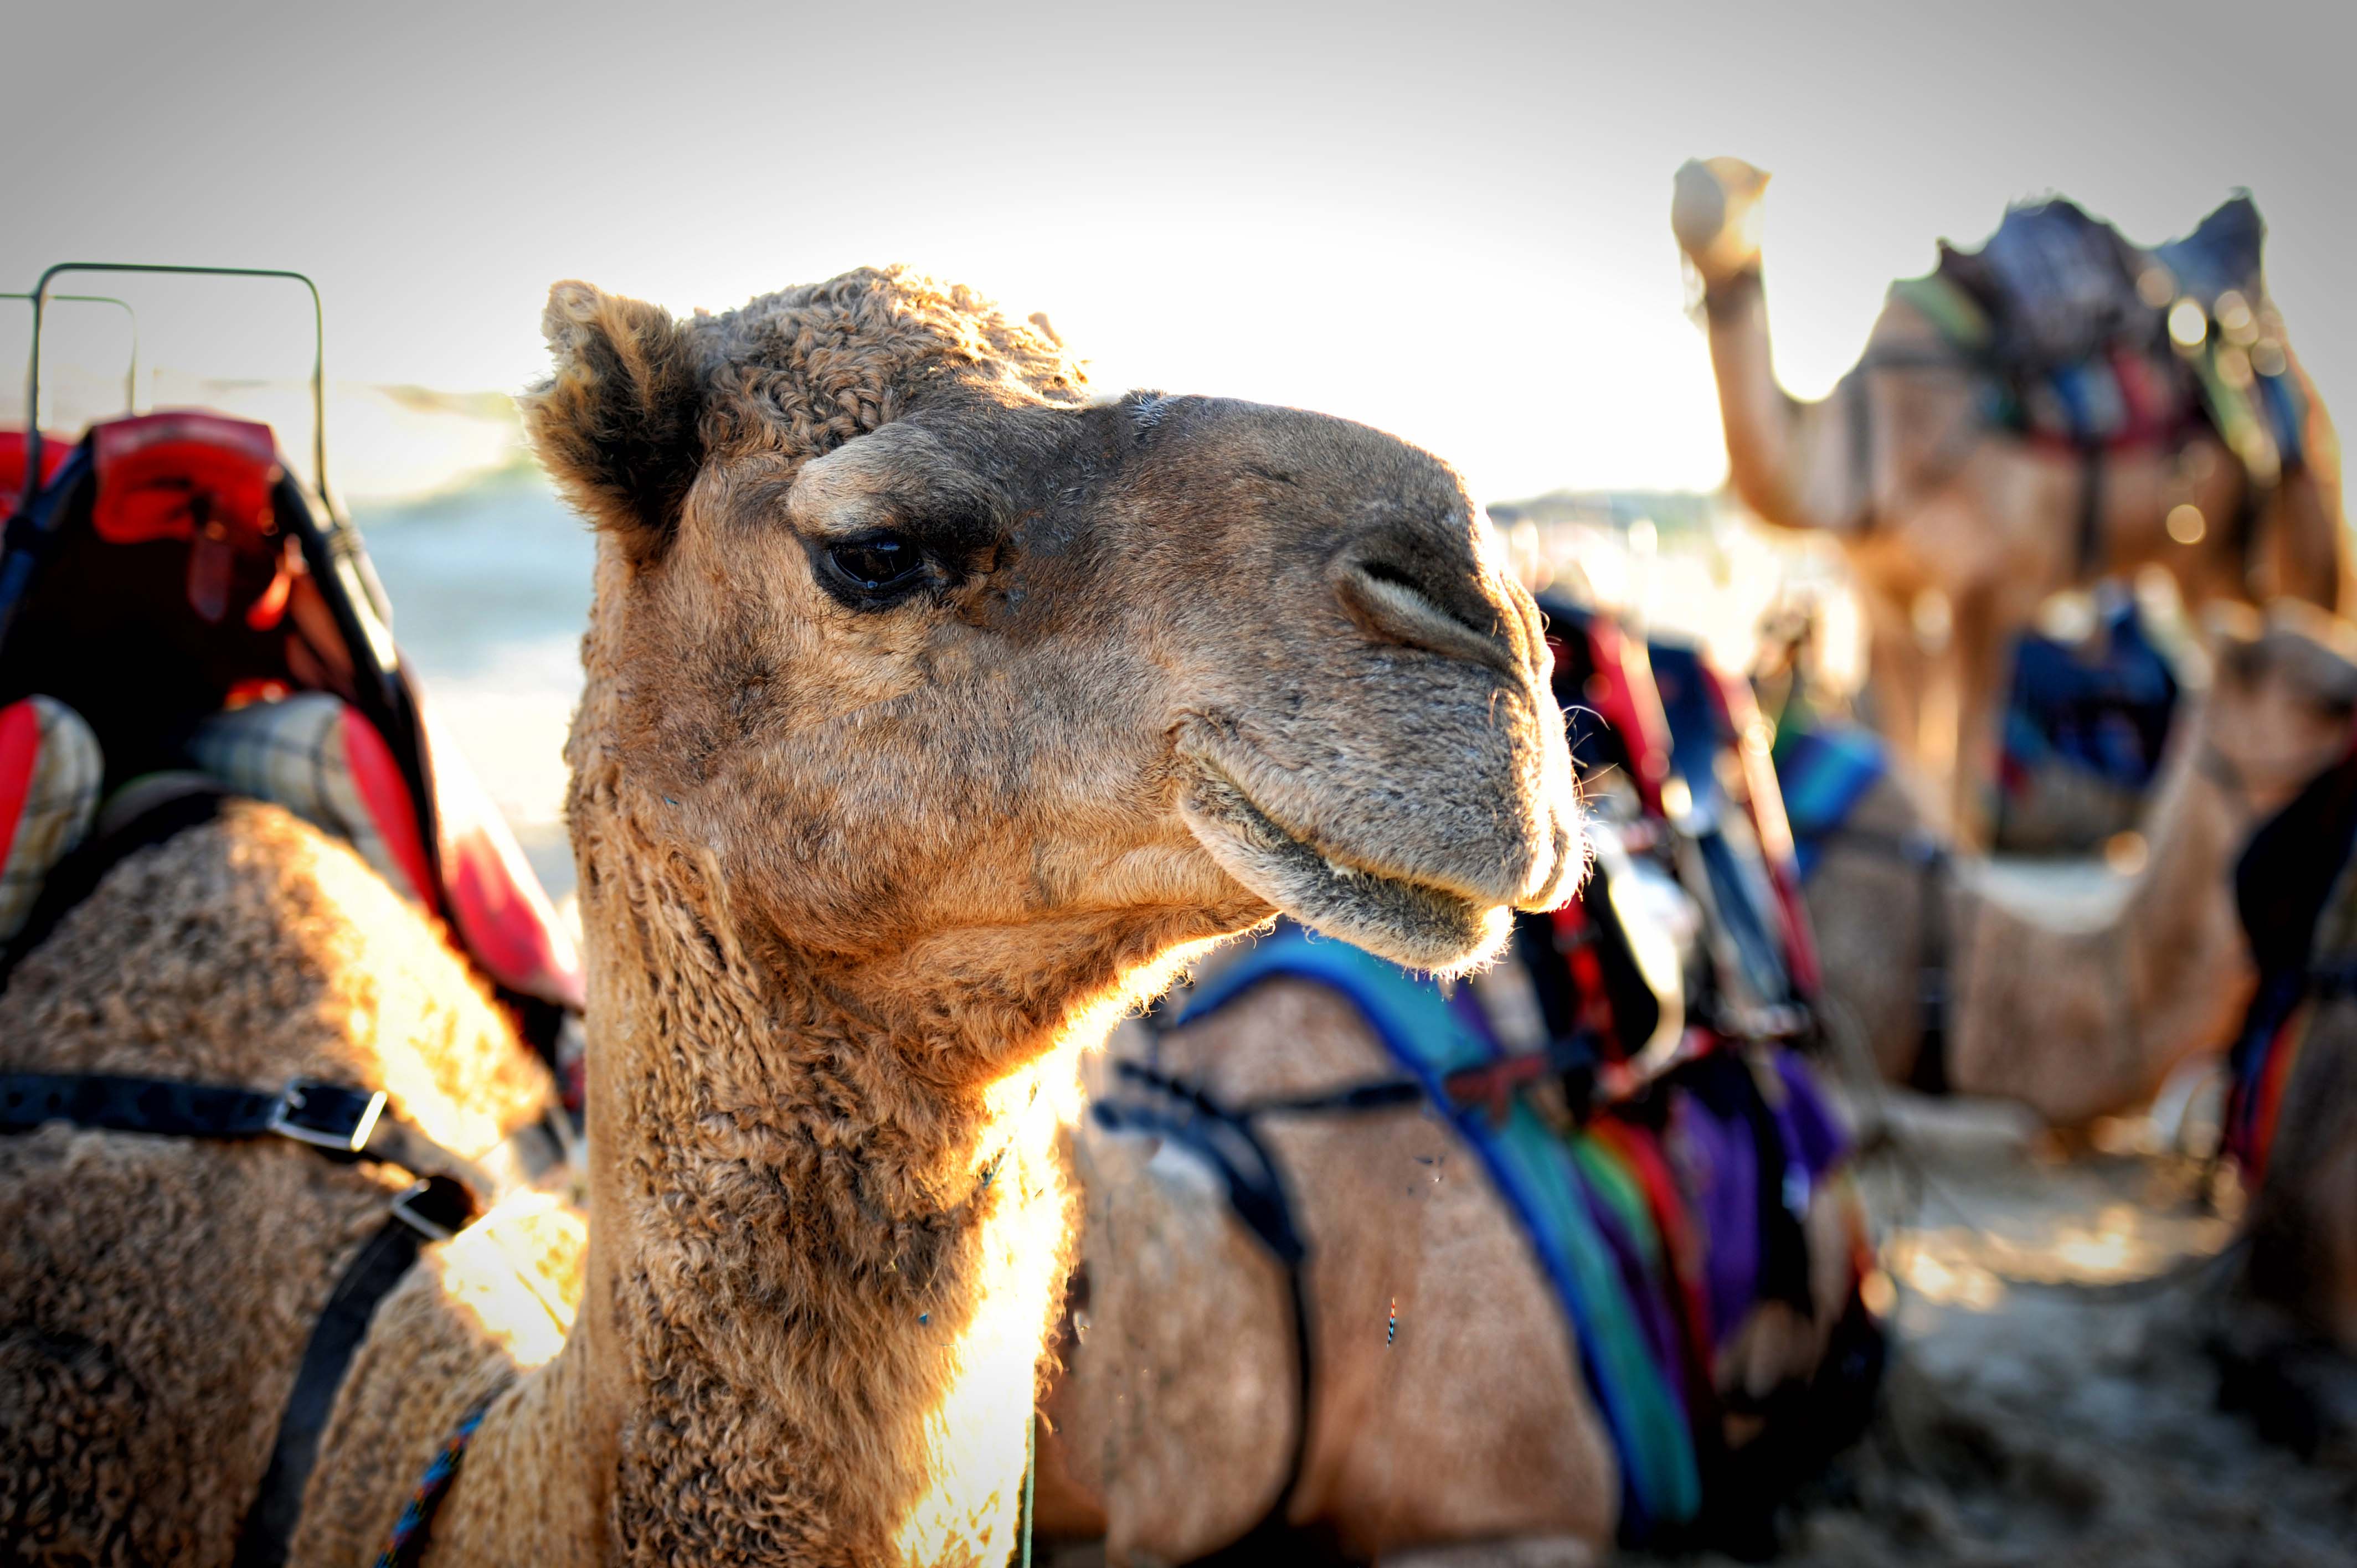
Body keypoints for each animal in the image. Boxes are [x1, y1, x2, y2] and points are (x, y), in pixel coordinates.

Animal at [1671, 156, 2350, 848]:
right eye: (1682, 186)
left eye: (1743, 195)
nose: (1701, 222)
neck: (1879, 440)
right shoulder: (1883, 598)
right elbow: (1915, 759)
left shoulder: (1985, 594)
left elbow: (1963, 782)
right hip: (2199, 567)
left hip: (2305, 515)